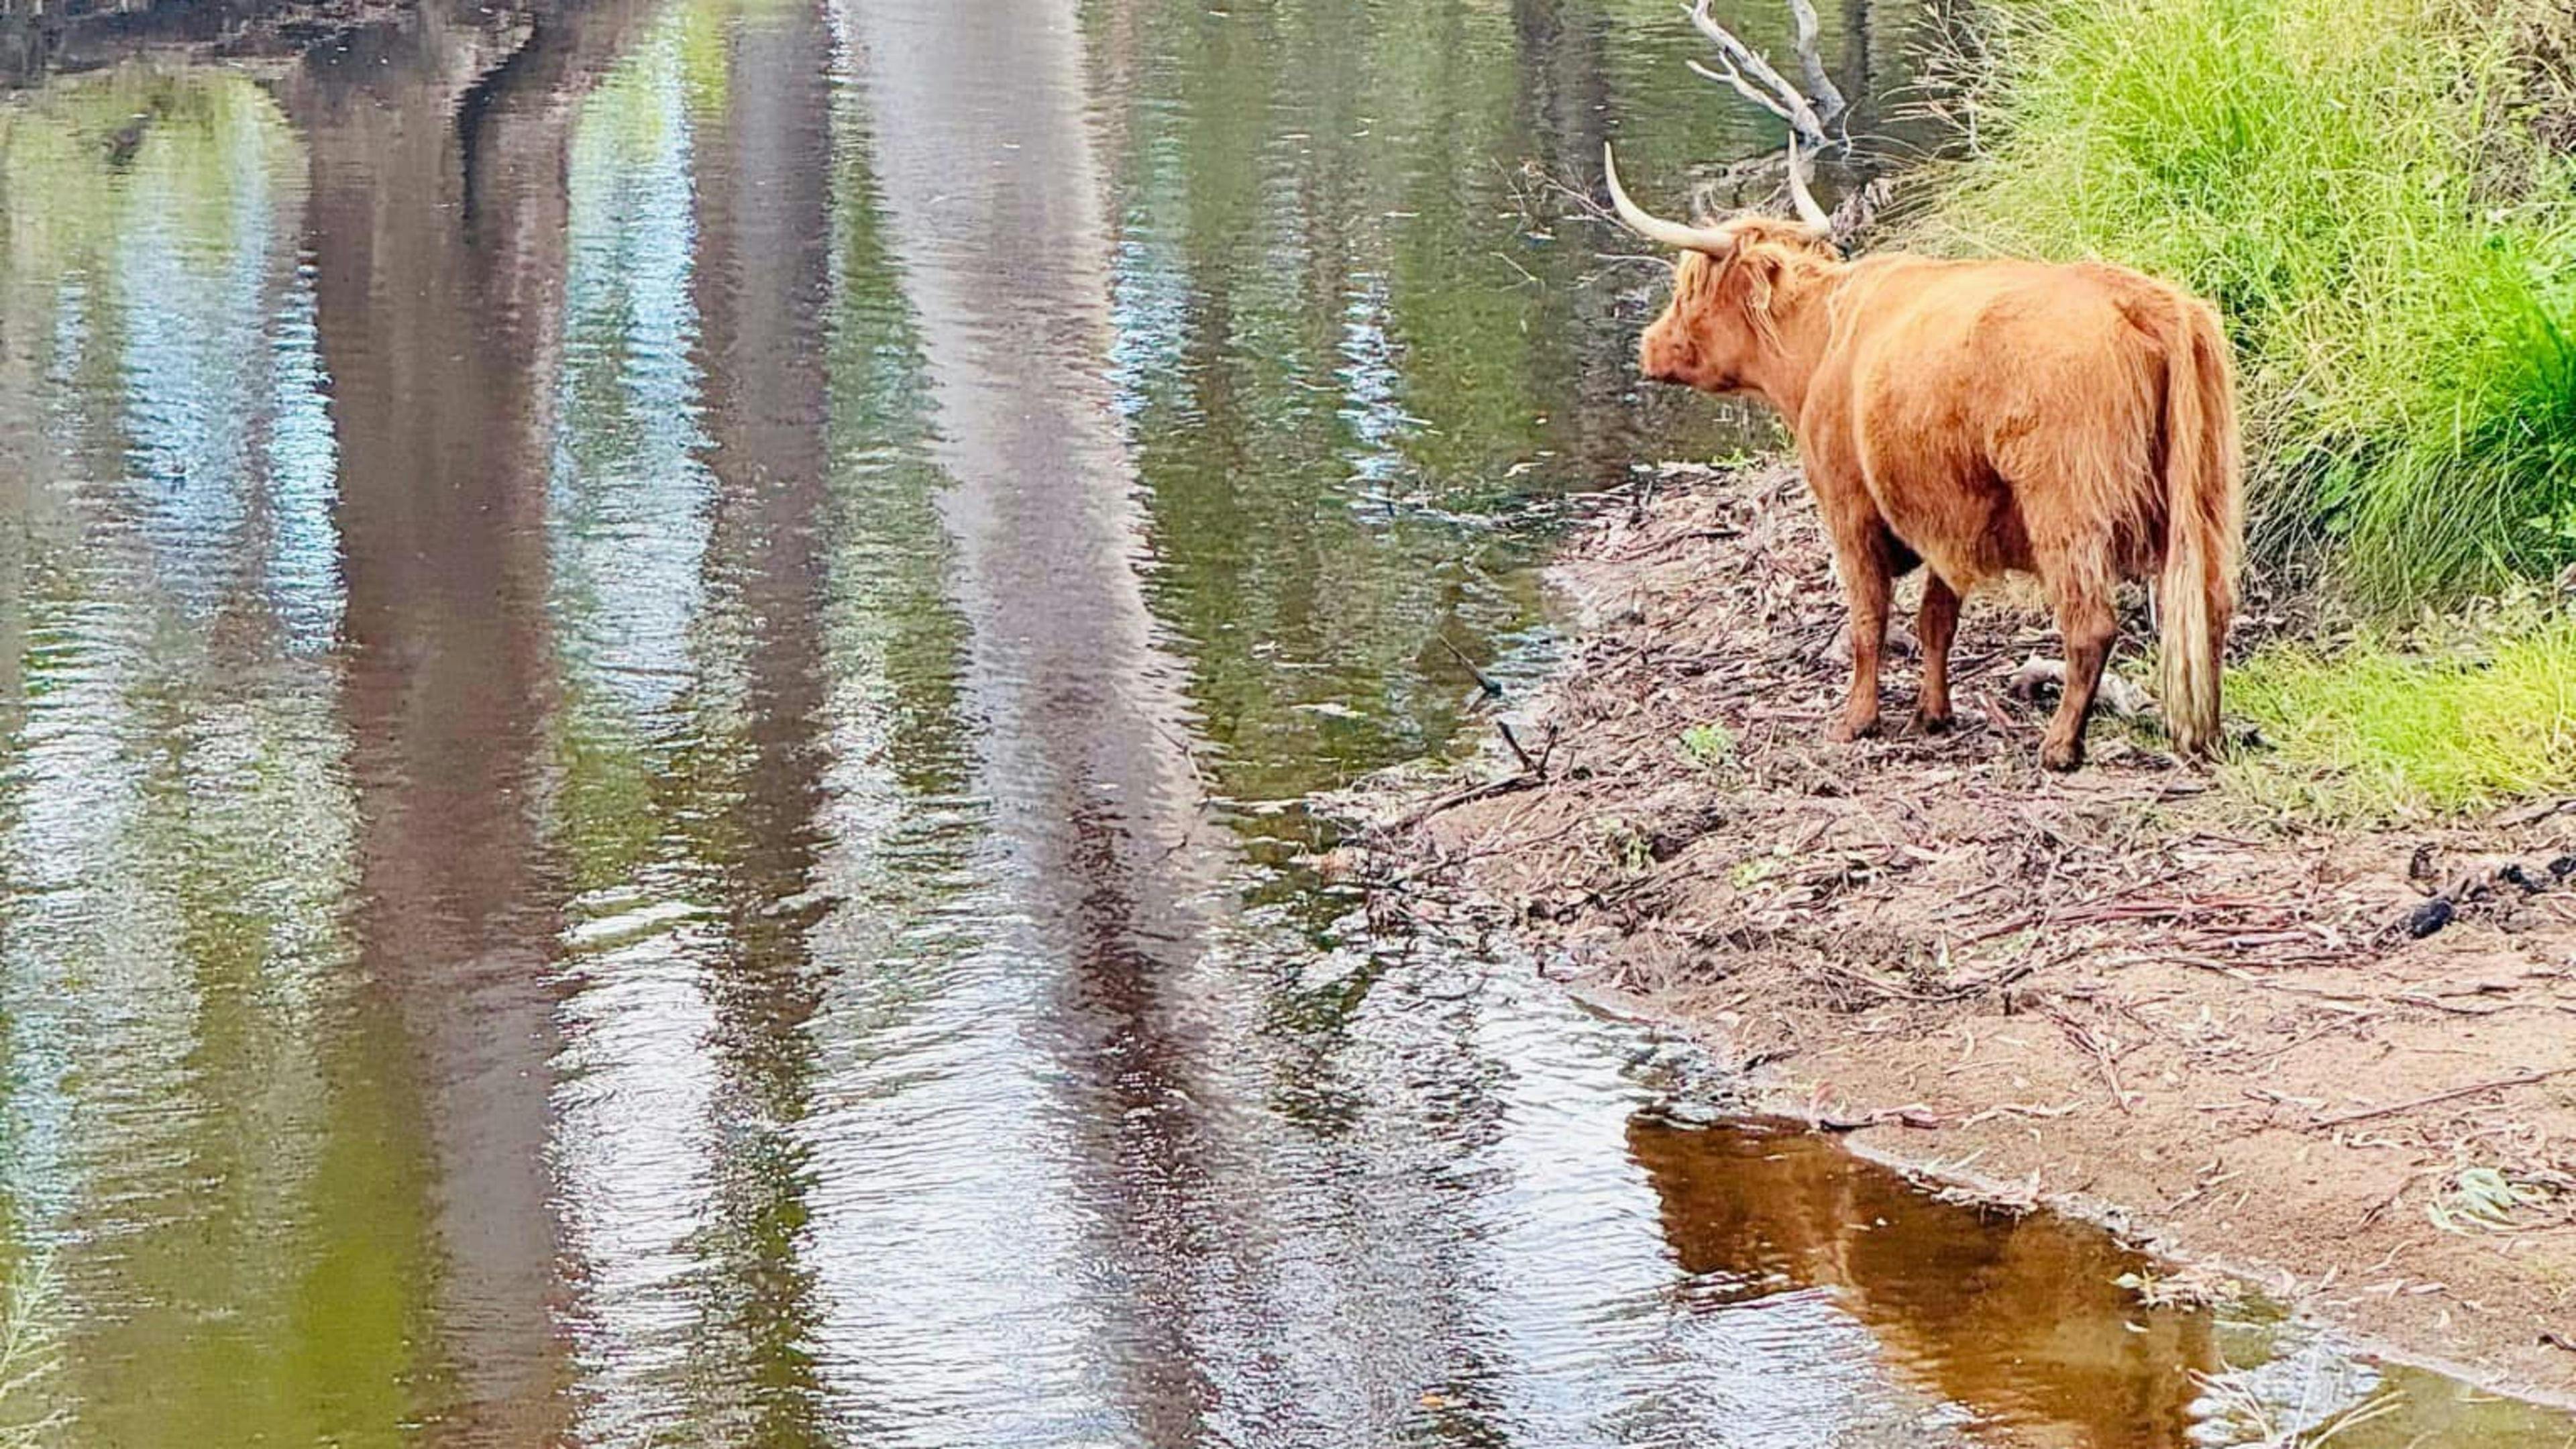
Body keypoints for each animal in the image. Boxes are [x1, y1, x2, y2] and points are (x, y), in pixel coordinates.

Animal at [1605, 143, 2243, 772]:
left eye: (1689, 287)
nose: (1649, 346)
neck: (1822, 341)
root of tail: (2140, 297)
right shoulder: (1942, 515)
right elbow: (1936, 619)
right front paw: (1931, 715)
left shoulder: (1850, 508)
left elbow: (1869, 621)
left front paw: (1856, 721)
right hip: (2205, 498)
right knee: (2209, 606)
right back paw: (2205, 733)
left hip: (2066, 508)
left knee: (2089, 625)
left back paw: (2061, 746)